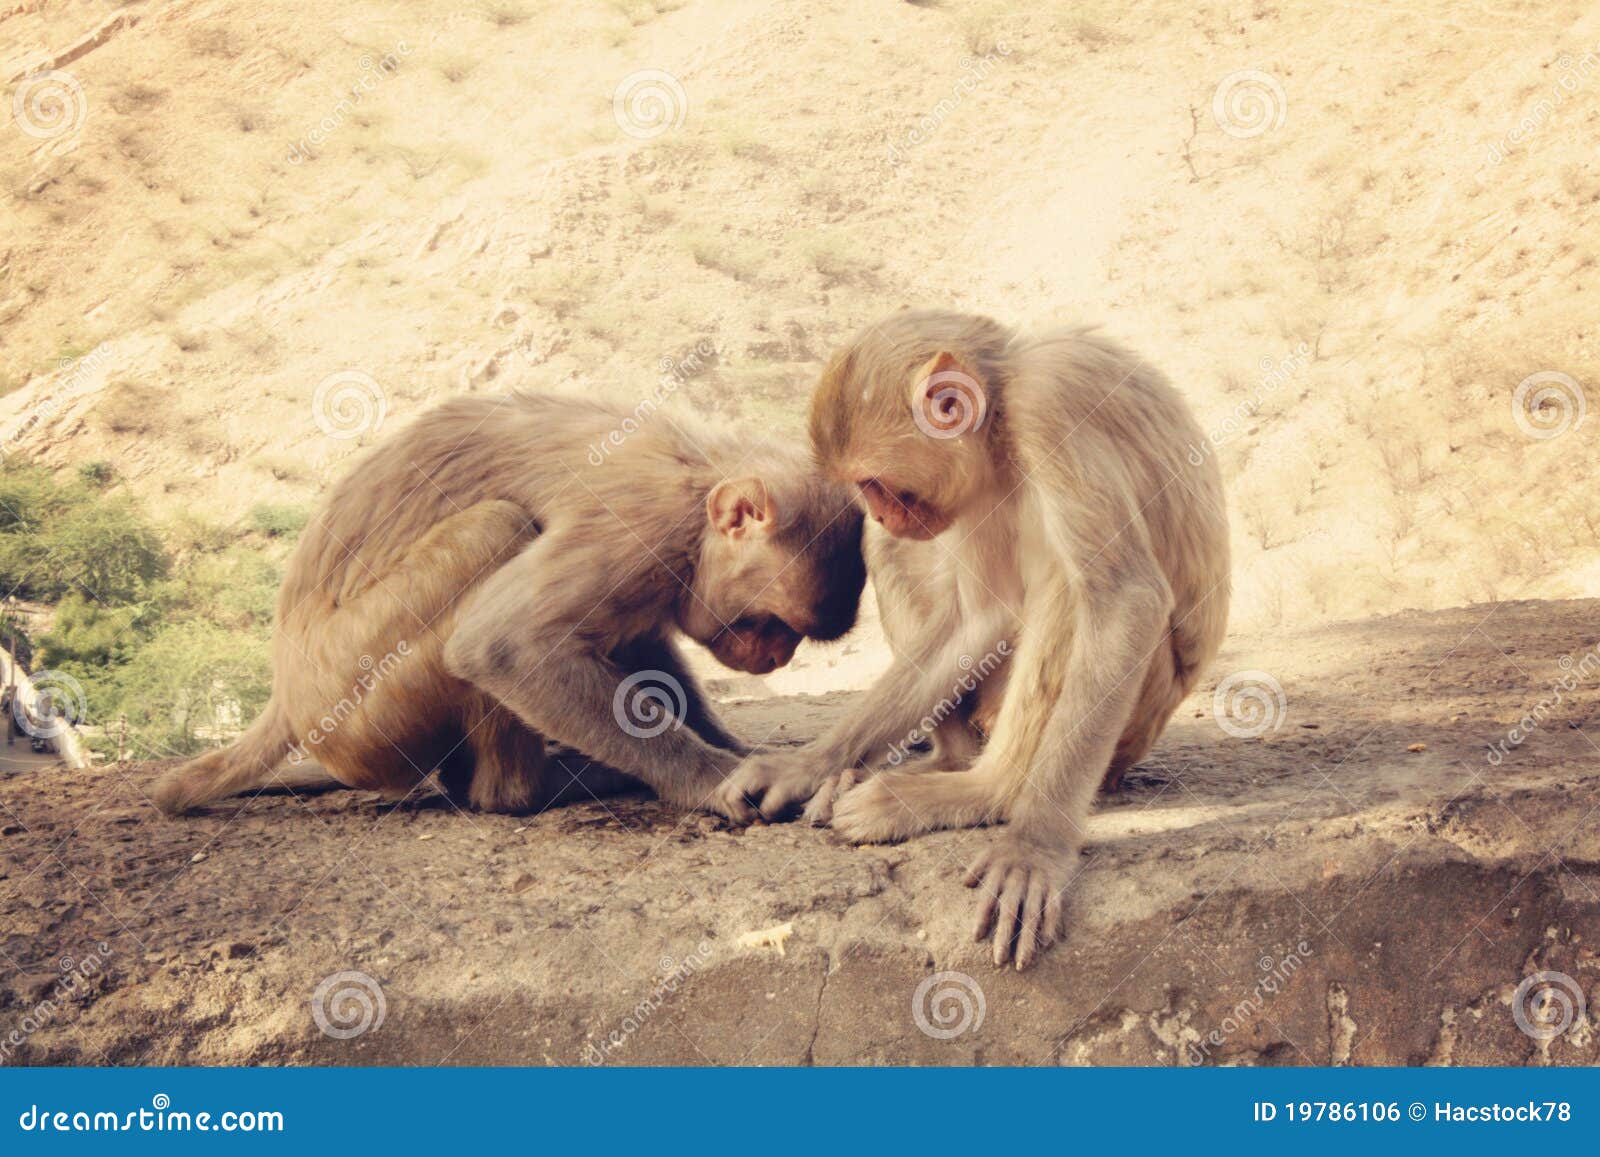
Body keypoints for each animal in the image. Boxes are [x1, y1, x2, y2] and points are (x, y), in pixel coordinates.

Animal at [151, 391, 866, 819]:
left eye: (789, 636)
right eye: (771, 623)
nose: (774, 657)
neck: (697, 491)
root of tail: (285, 694)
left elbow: (636, 645)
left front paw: (746, 751)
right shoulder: (641, 526)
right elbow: (505, 645)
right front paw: (717, 779)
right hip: (354, 705)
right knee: (494, 532)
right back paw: (525, 791)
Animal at [716, 310, 1230, 968]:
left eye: (873, 482)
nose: (878, 512)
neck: (1004, 413)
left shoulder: (1051, 408)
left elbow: (1123, 601)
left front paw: (1035, 845)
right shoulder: (972, 487)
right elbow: (978, 617)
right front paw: (809, 764)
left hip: (1138, 717)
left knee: (1070, 585)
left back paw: (991, 791)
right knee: (906, 558)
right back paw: (930, 765)